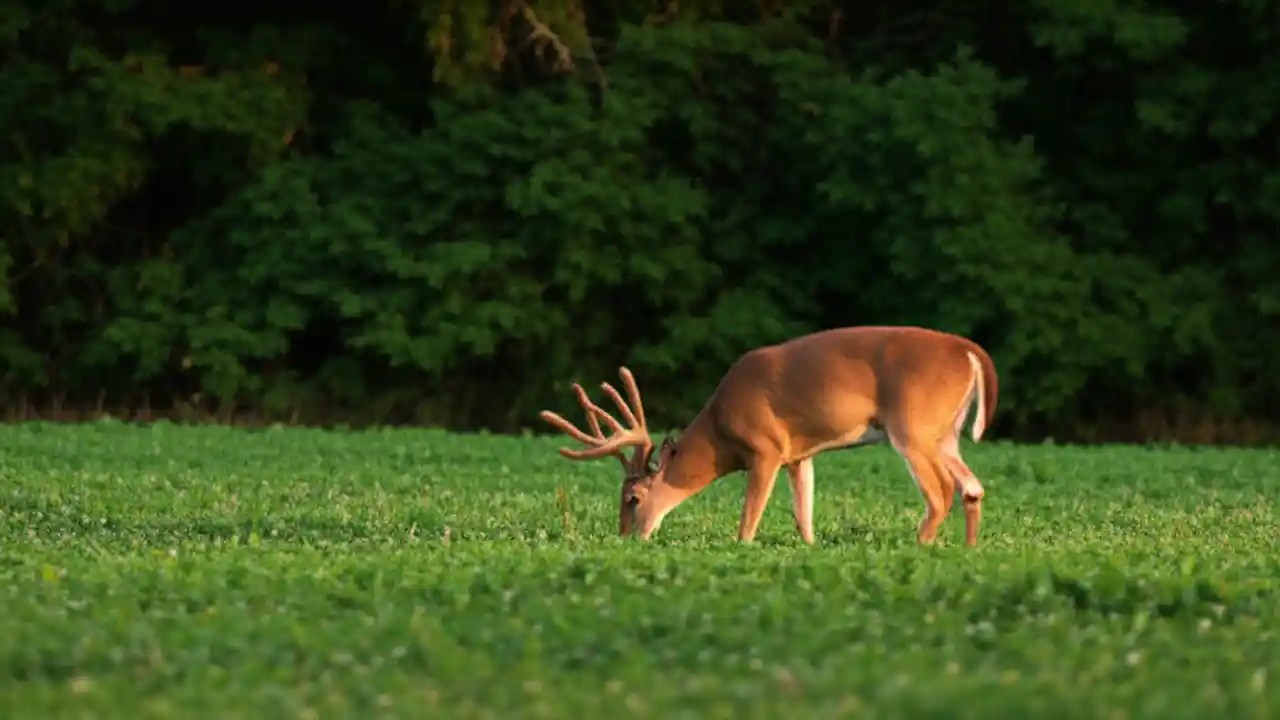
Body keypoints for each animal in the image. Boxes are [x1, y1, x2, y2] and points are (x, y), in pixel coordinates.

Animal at [538, 325, 999, 546]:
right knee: (972, 488)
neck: (720, 430)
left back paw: (918, 546)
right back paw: (967, 551)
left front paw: (741, 550)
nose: (627, 538)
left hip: (914, 428)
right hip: (946, 433)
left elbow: (749, 517)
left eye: (633, 499)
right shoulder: (800, 454)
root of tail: (970, 352)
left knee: (941, 492)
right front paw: (811, 549)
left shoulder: (766, 448)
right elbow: (803, 514)